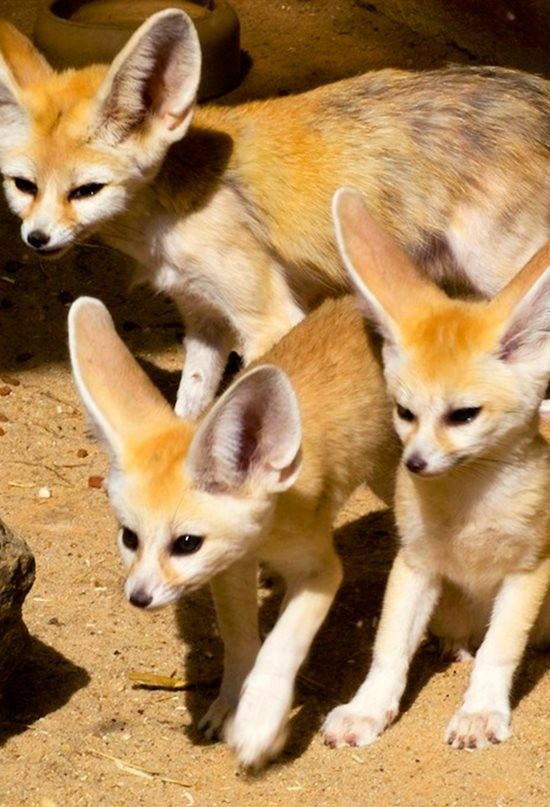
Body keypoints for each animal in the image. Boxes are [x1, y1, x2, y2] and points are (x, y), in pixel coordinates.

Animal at [0, 10, 549, 420]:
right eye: (23, 186)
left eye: (86, 191)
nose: (36, 239)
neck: (167, 216)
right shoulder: (203, 316)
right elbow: (190, 404)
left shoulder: (269, 317)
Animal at [68, 289, 400, 769]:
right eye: (129, 538)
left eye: (186, 543)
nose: (139, 598)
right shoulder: (230, 568)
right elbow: (240, 640)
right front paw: (230, 703)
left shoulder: (320, 570)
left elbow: (280, 645)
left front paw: (259, 718)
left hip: (393, 478)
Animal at [322, 188, 550, 752]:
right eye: (404, 412)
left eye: (463, 415)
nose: (415, 463)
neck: (467, 509)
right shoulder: (415, 565)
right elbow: (388, 651)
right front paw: (366, 710)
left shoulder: (528, 570)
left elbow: (500, 651)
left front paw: (480, 712)